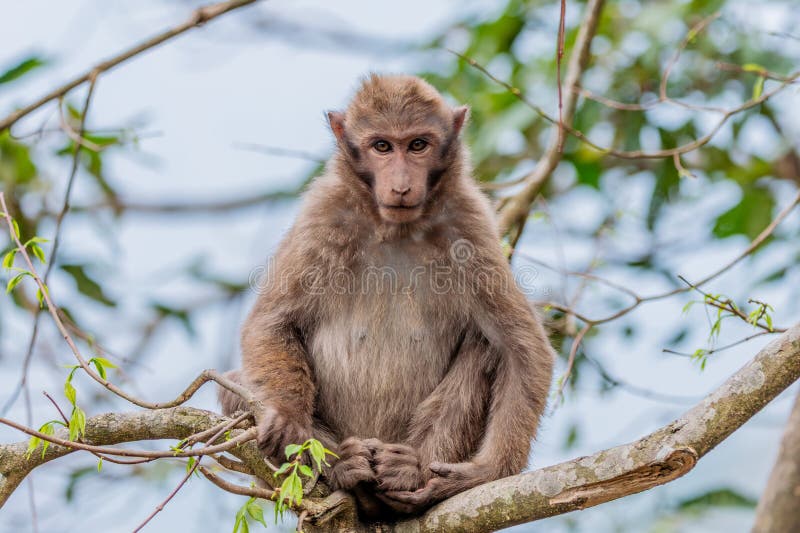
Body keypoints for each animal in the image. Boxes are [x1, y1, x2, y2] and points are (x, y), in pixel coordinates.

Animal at [219, 74, 555, 518]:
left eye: (418, 145)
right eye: (382, 146)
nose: (400, 185)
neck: (395, 227)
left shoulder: (468, 222)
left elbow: (522, 348)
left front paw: (483, 472)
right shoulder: (323, 214)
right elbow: (272, 323)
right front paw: (290, 417)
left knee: (485, 343)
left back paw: (409, 473)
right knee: (233, 387)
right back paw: (344, 466)